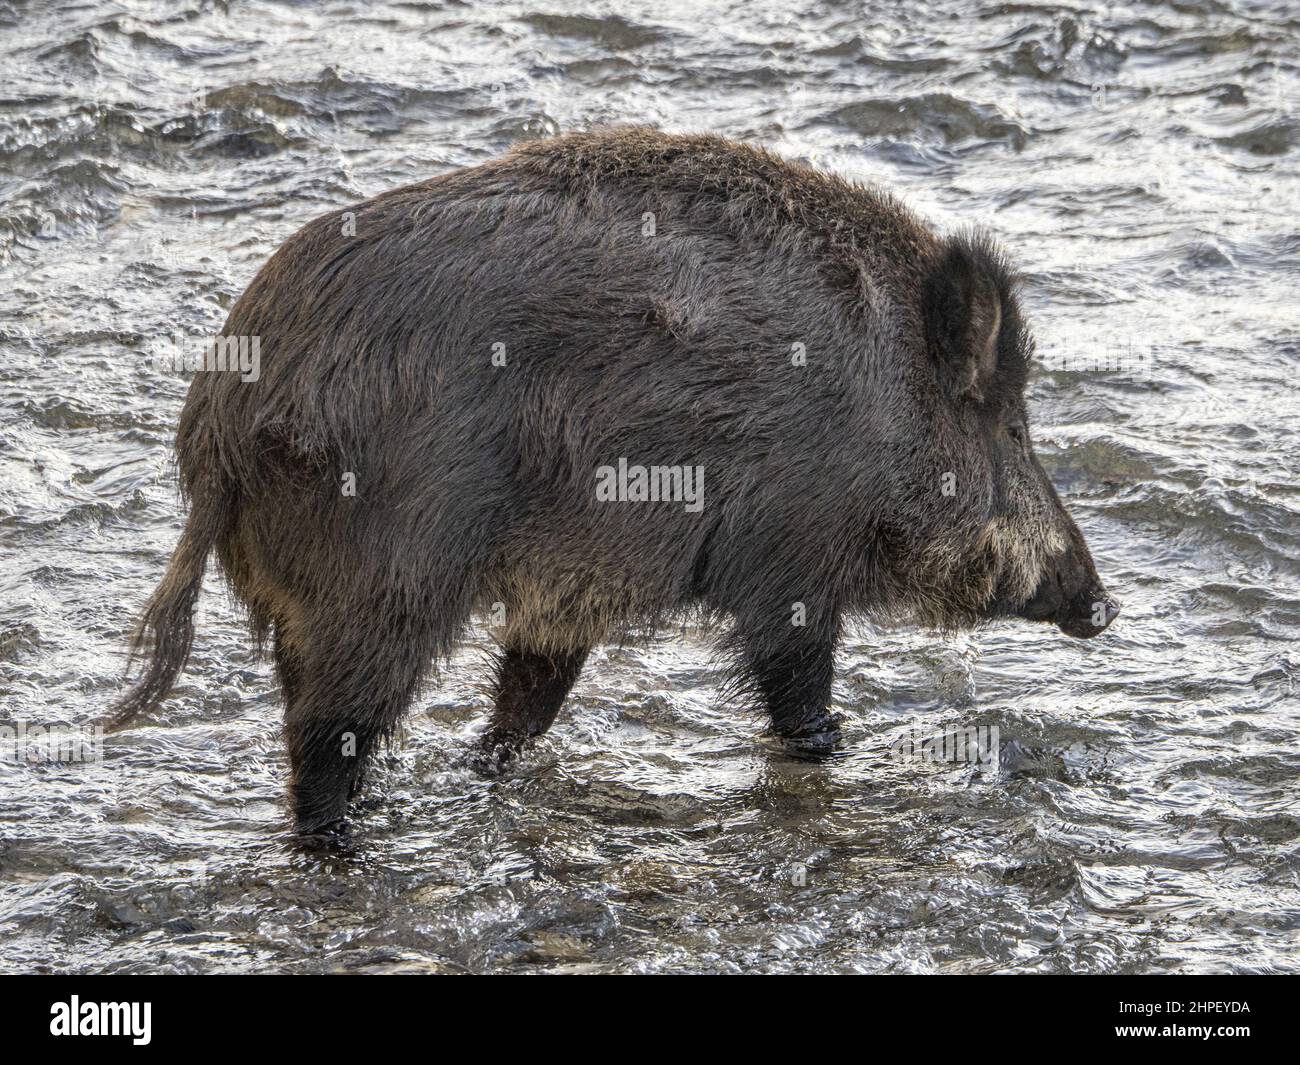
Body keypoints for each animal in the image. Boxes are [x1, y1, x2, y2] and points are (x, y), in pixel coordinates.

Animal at [113, 128, 1119, 834]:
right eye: (1016, 426)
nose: (1102, 605)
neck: (890, 401)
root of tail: (221, 425)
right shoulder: (789, 565)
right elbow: (798, 699)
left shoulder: (565, 597)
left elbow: (523, 703)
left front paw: (493, 770)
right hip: (385, 581)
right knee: (325, 740)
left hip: (303, 595)